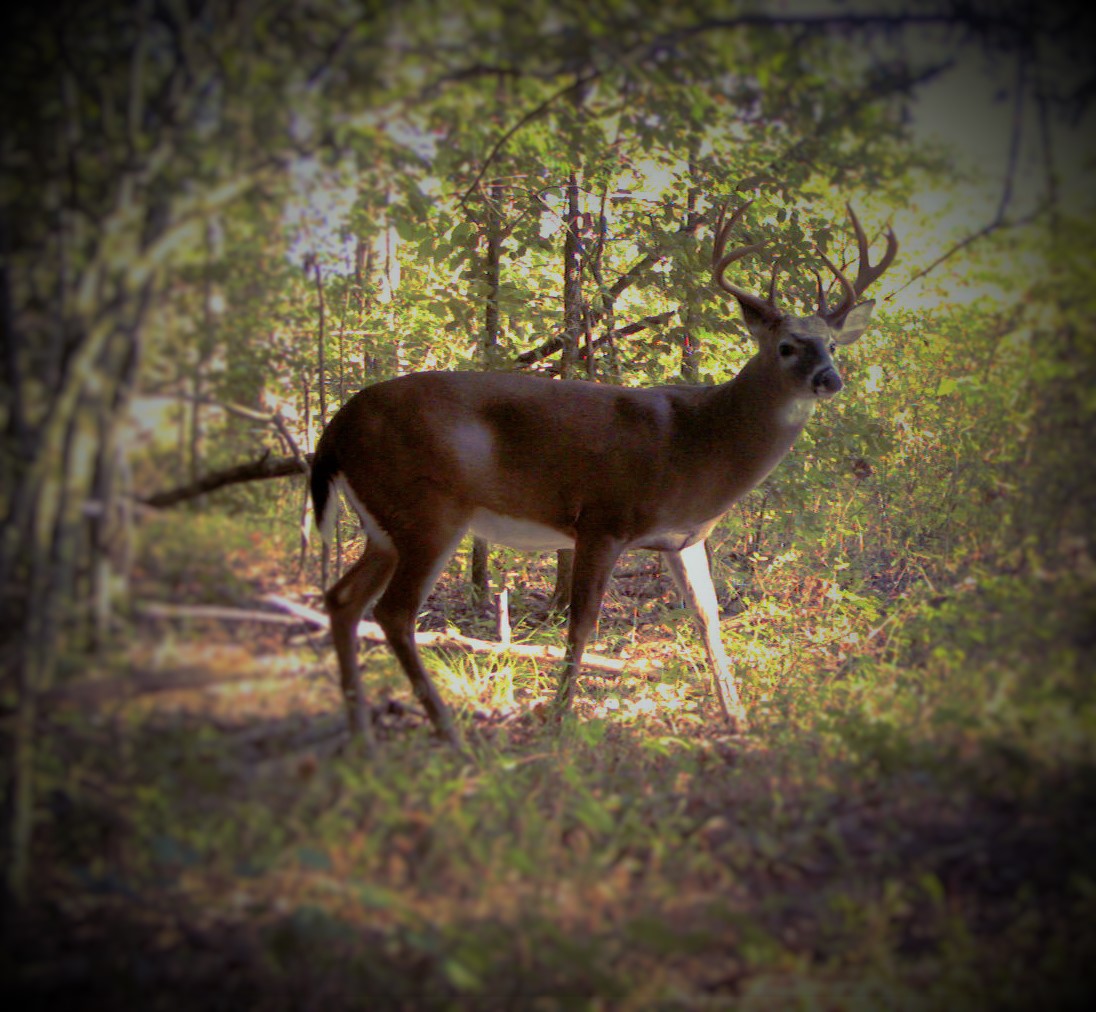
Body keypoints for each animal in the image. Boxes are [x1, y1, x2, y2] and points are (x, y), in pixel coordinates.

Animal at [310, 203, 897, 752]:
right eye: (786, 346)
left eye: (833, 344)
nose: (831, 379)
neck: (699, 444)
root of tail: (334, 428)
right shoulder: (602, 518)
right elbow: (582, 622)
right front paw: (556, 722)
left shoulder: (684, 538)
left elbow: (708, 619)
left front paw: (738, 720)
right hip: (429, 510)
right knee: (394, 613)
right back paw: (448, 732)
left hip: (385, 525)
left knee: (341, 599)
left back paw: (361, 729)